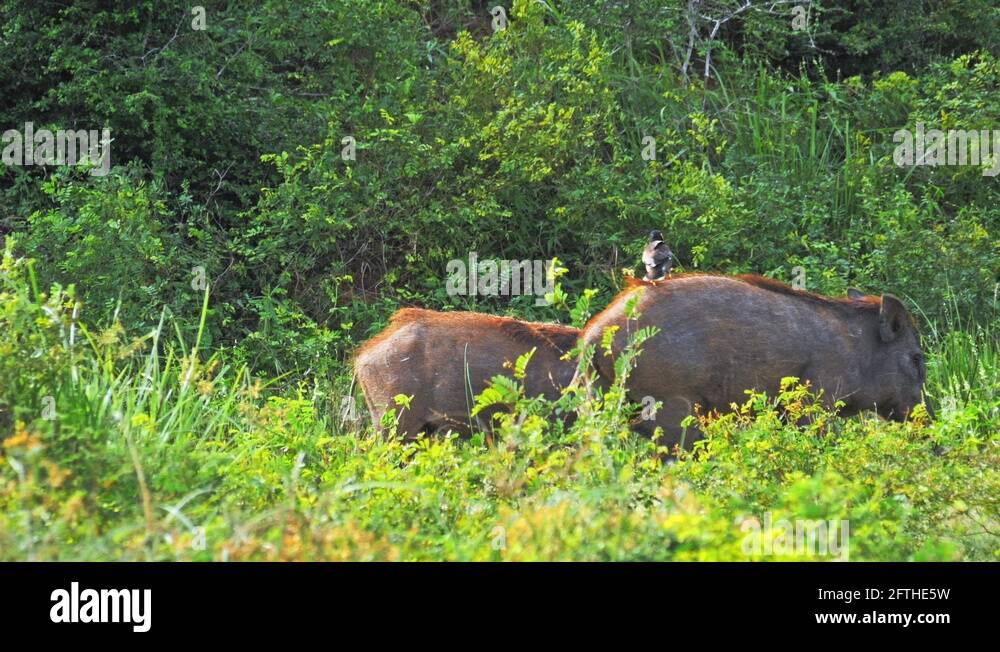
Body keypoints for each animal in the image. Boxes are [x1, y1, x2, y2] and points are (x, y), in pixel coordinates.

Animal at [580, 274, 928, 451]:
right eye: (917, 358)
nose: (930, 428)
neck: (857, 349)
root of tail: (594, 336)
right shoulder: (815, 407)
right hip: (672, 411)